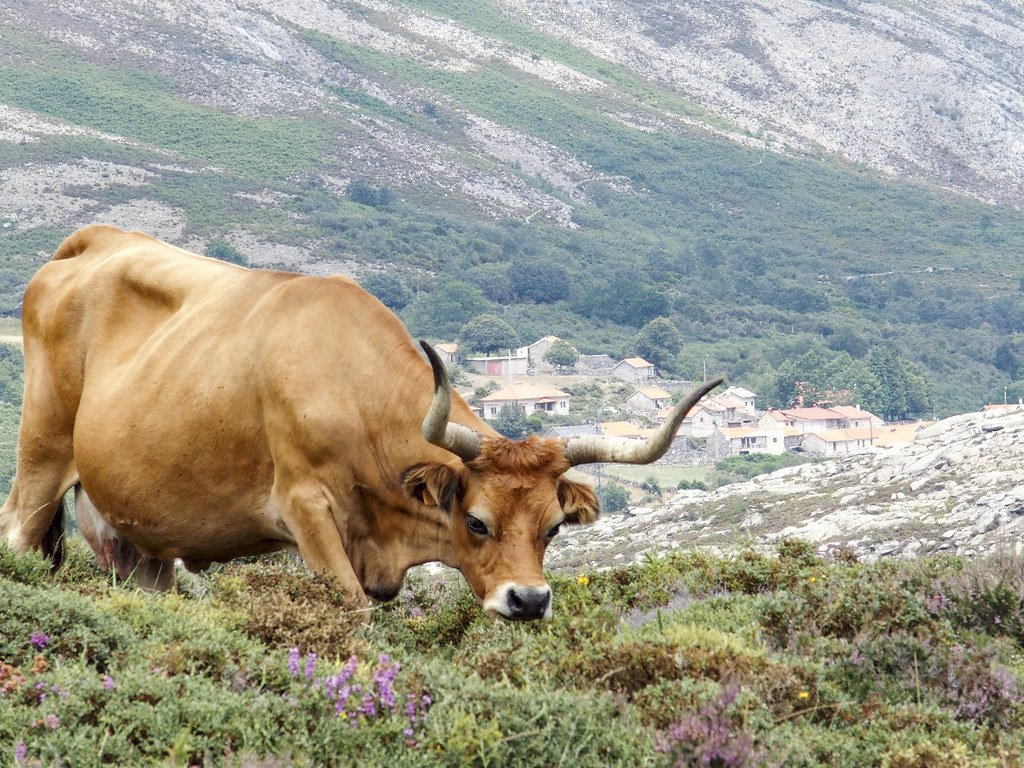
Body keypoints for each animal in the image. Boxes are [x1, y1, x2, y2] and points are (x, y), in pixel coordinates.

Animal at [0, 224, 722, 620]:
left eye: (552, 528)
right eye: (477, 521)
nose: (529, 600)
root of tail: (94, 241)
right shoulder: (305, 509)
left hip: (136, 533)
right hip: (41, 452)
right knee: (17, 532)